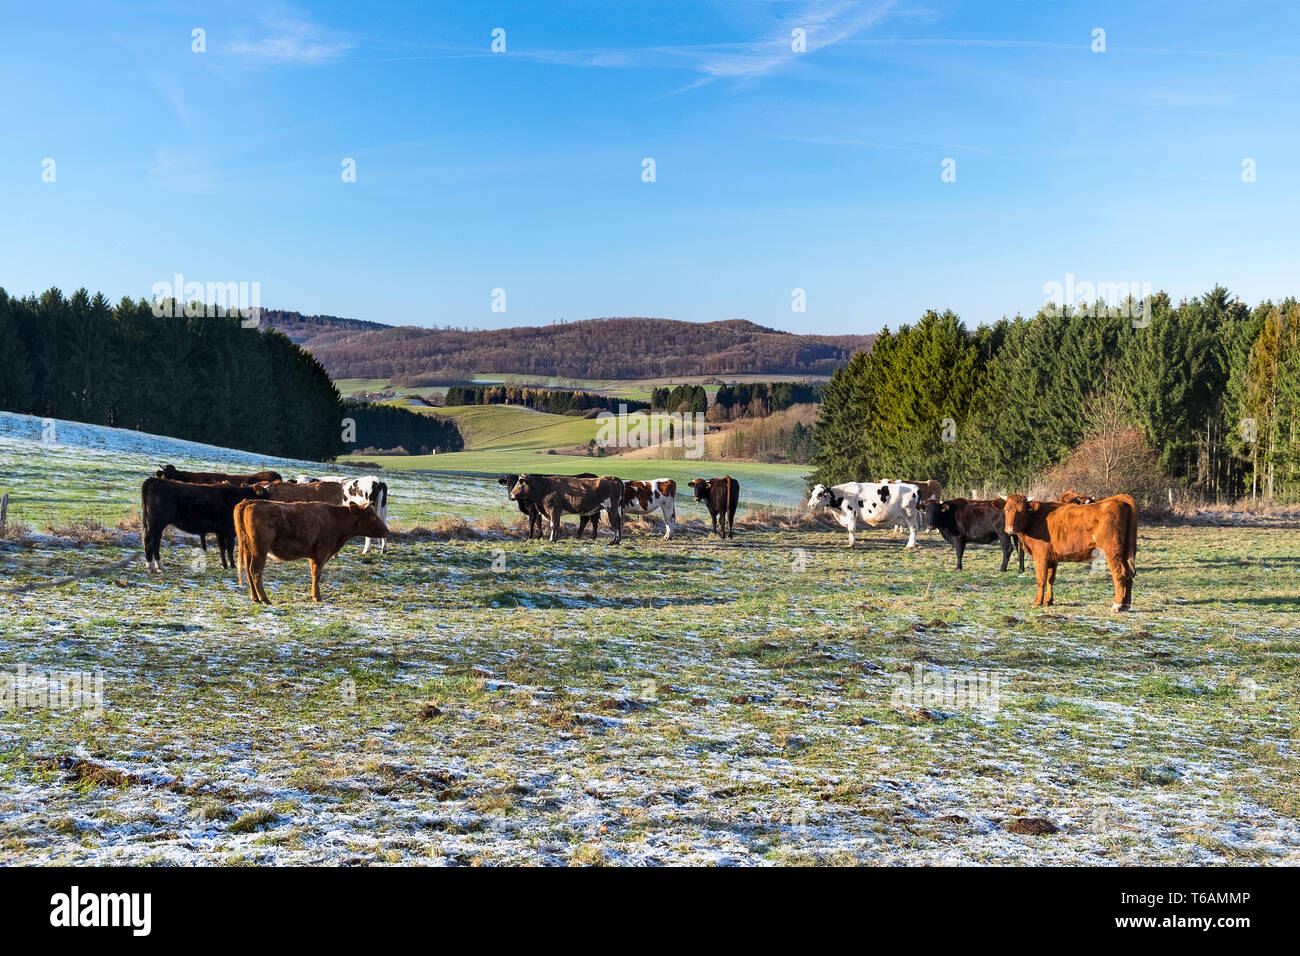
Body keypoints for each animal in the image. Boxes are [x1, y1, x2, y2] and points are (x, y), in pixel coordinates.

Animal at [234, 500, 389, 604]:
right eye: (372, 516)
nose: (387, 531)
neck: (335, 519)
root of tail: (249, 502)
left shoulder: (313, 555)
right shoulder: (321, 554)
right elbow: (316, 575)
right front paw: (317, 596)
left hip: (248, 549)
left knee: (248, 570)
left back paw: (255, 598)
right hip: (260, 550)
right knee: (255, 571)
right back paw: (264, 599)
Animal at [1003, 493, 1138, 612]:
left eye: (1022, 511)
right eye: (1005, 510)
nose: (1010, 529)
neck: (1035, 519)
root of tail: (1116, 499)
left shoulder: (1041, 556)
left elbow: (1041, 579)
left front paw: (1037, 602)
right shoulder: (1052, 558)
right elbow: (1050, 579)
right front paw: (1048, 601)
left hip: (1112, 552)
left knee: (1119, 575)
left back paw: (1117, 605)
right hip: (1126, 552)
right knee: (1129, 574)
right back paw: (1126, 605)